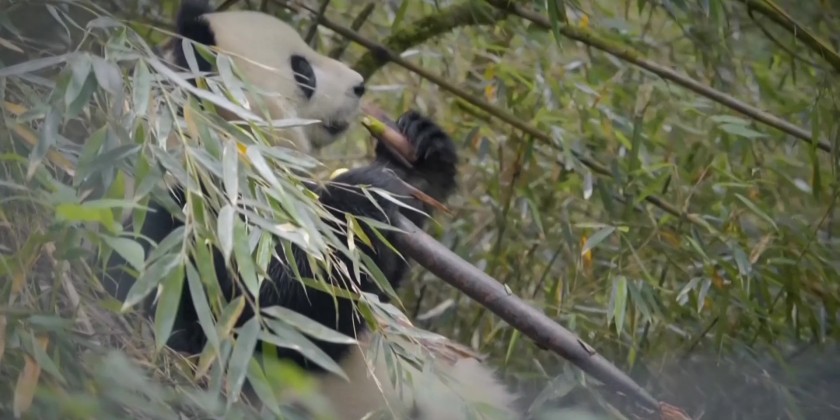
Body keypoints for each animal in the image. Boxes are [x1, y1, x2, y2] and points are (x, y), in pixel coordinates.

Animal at [105, 1, 518, 419]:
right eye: (302, 68)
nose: (359, 85)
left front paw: (419, 153)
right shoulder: (185, 218)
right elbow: (271, 313)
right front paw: (361, 198)